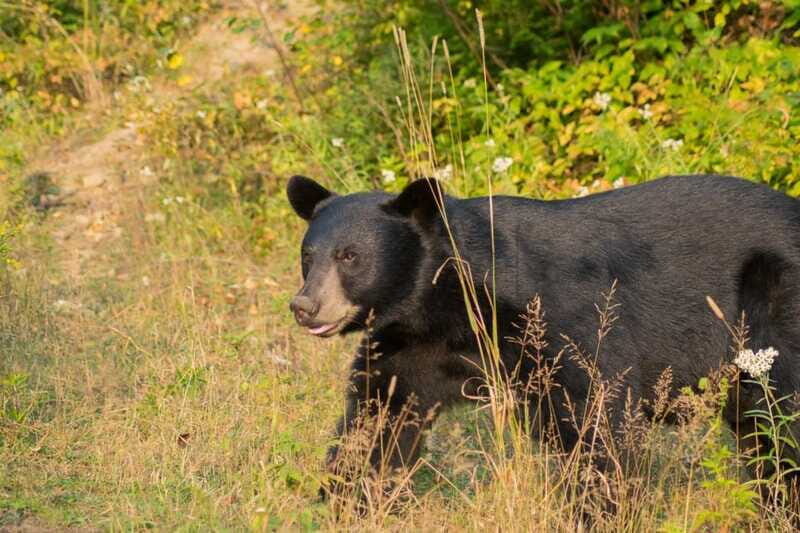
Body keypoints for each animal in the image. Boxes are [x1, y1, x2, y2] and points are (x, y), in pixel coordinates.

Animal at [286, 173, 800, 501]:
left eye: (350, 256)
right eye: (308, 255)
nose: (304, 306)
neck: (450, 301)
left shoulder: (563, 316)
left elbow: (598, 418)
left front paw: (602, 507)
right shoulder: (410, 346)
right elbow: (378, 420)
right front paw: (343, 497)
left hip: (772, 303)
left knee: (780, 416)